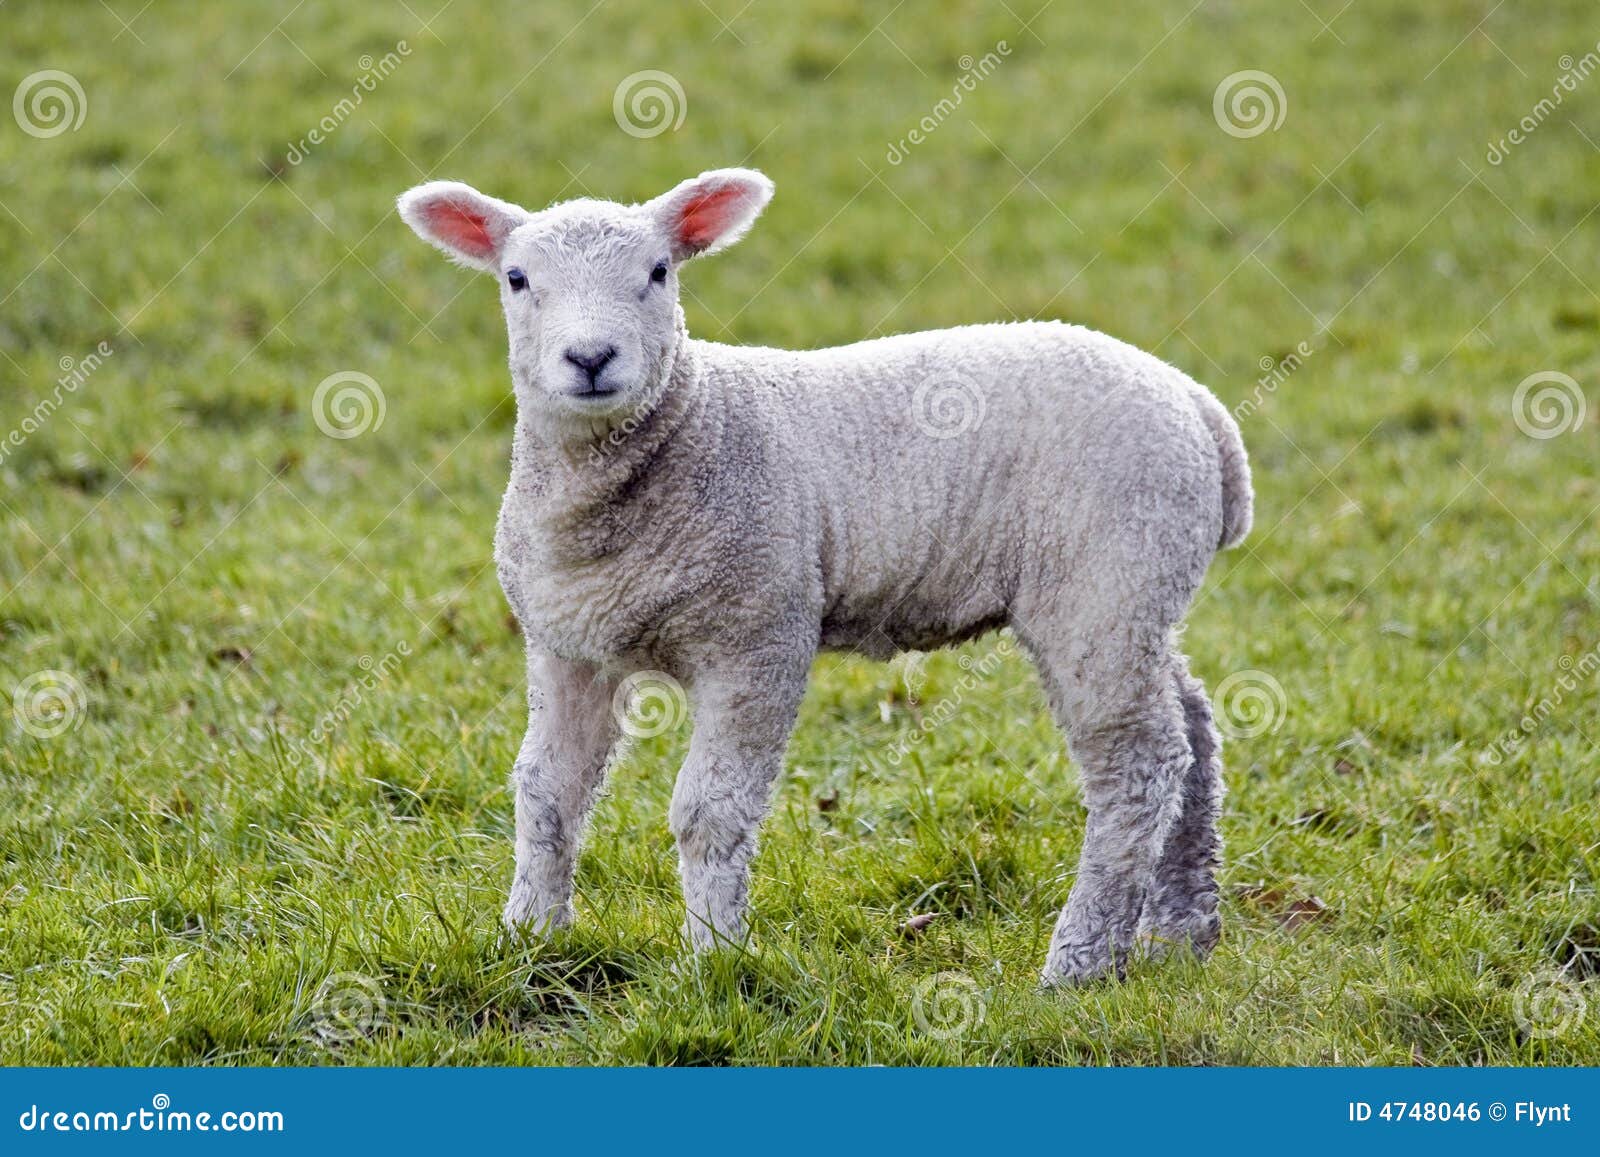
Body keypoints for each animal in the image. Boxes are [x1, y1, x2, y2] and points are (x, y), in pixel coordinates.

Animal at [397, 167, 1253, 986]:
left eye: (658, 271)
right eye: (516, 278)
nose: (590, 359)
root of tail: (1196, 404)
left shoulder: (758, 630)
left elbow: (709, 811)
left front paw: (714, 958)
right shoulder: (565, 643)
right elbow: (547, 792)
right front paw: (528, 937)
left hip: (1104, 577)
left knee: (1138, 764)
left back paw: (1079, 960)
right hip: (1136, 594)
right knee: (1192, 729)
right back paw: (1180, 932)